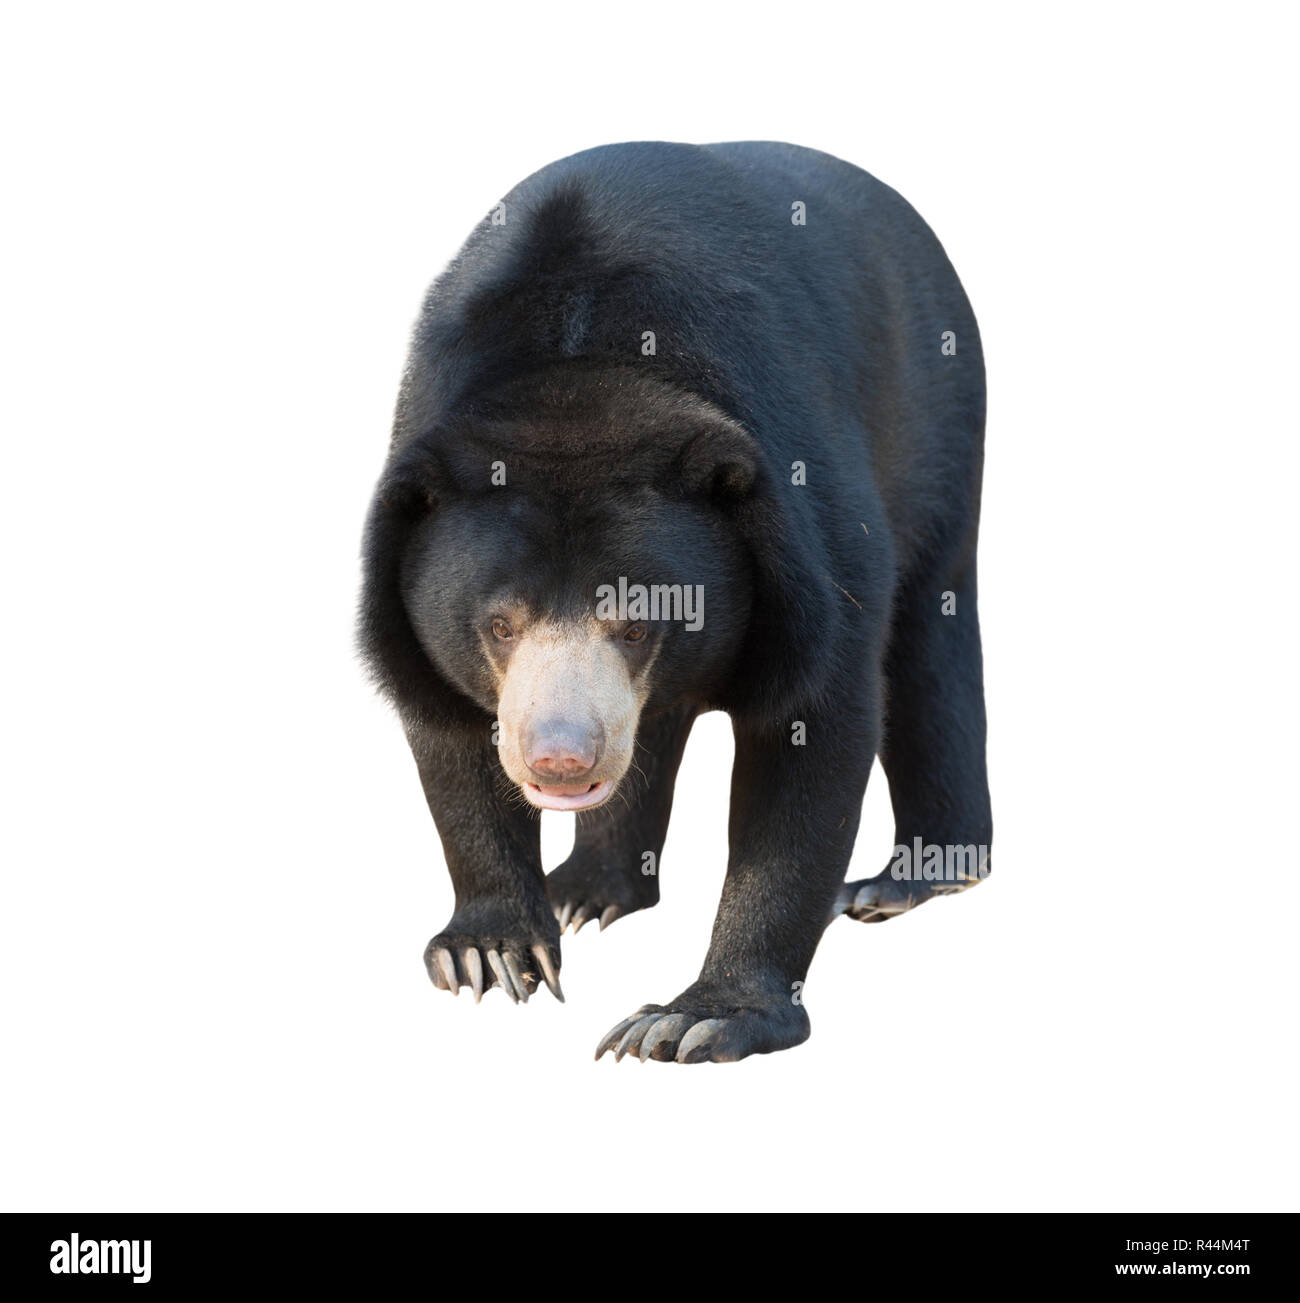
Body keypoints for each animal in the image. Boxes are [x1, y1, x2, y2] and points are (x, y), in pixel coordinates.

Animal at [359, 141, 992, 1064]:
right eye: (499, 625)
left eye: (637, 623)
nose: (559, 761)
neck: (582, 367)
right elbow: (442, 722)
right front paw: (491, 951)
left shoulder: (803, 521)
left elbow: (815, 727)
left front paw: (694, 1018)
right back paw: (588, 888)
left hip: (939, 416)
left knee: (927, 642)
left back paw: (907, 882)